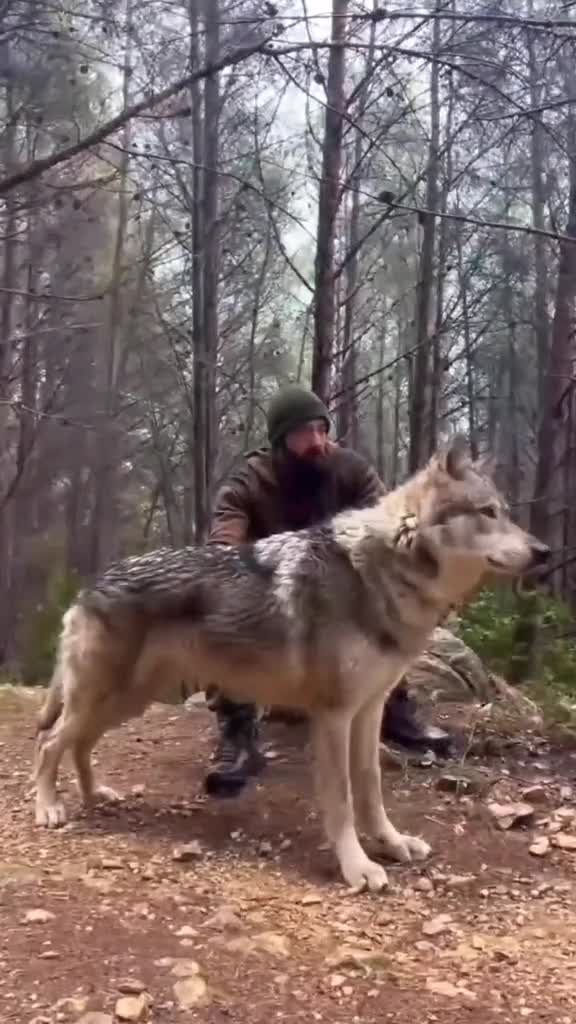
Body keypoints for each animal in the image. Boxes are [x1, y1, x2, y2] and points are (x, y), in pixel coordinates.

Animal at [33, 437, 549, 891]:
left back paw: (95, 795)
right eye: (488, 512)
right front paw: (357, 867)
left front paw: (391, 843)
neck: (383, 570)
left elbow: (371, 787)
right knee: (49, 743)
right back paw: (49, 808)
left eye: (506, 511)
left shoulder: (369, 710)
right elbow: (341, 799)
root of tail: (88, 586)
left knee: (79, 745)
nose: (545, 552)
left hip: (127, 702)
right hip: (104, 698)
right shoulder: (335, 715)